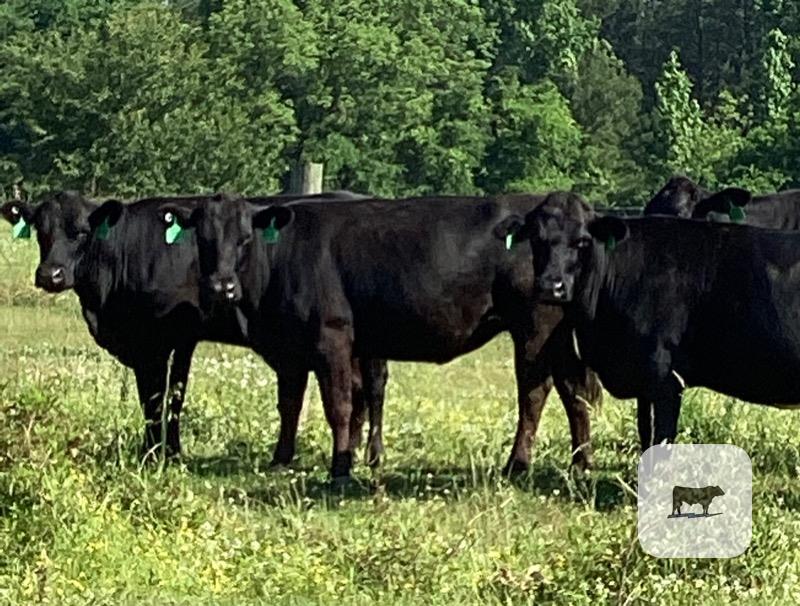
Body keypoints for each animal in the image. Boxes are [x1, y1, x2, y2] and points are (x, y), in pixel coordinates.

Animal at [0, 191, 388, 467]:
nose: (50, 275)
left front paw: (155, 454)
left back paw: (372, 455)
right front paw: (168, 451)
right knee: (358, 390)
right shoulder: (176, 339)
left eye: (81, 232)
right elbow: (171, 395)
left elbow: (158, 397)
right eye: (40, 232)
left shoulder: (160, 339)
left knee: (373, 386)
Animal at [156, 194, 603, 481]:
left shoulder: (332, 339)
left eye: (245, 238)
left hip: (535, 327)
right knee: (572, 390)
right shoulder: (291, 349)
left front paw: (340, 467)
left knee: (534, 391)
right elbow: (290, 404)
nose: (222, 286)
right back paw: (579, 463)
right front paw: (281, 459)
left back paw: (517, 464)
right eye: (203, 238)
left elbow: (339, 405)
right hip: (555, 333)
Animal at [506, 191, 800, 452]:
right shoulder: (642, 380)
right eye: (536, 239)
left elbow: (662, 438)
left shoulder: (664, 375)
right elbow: (644, 432)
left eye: (582, 241)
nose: (551, 286)